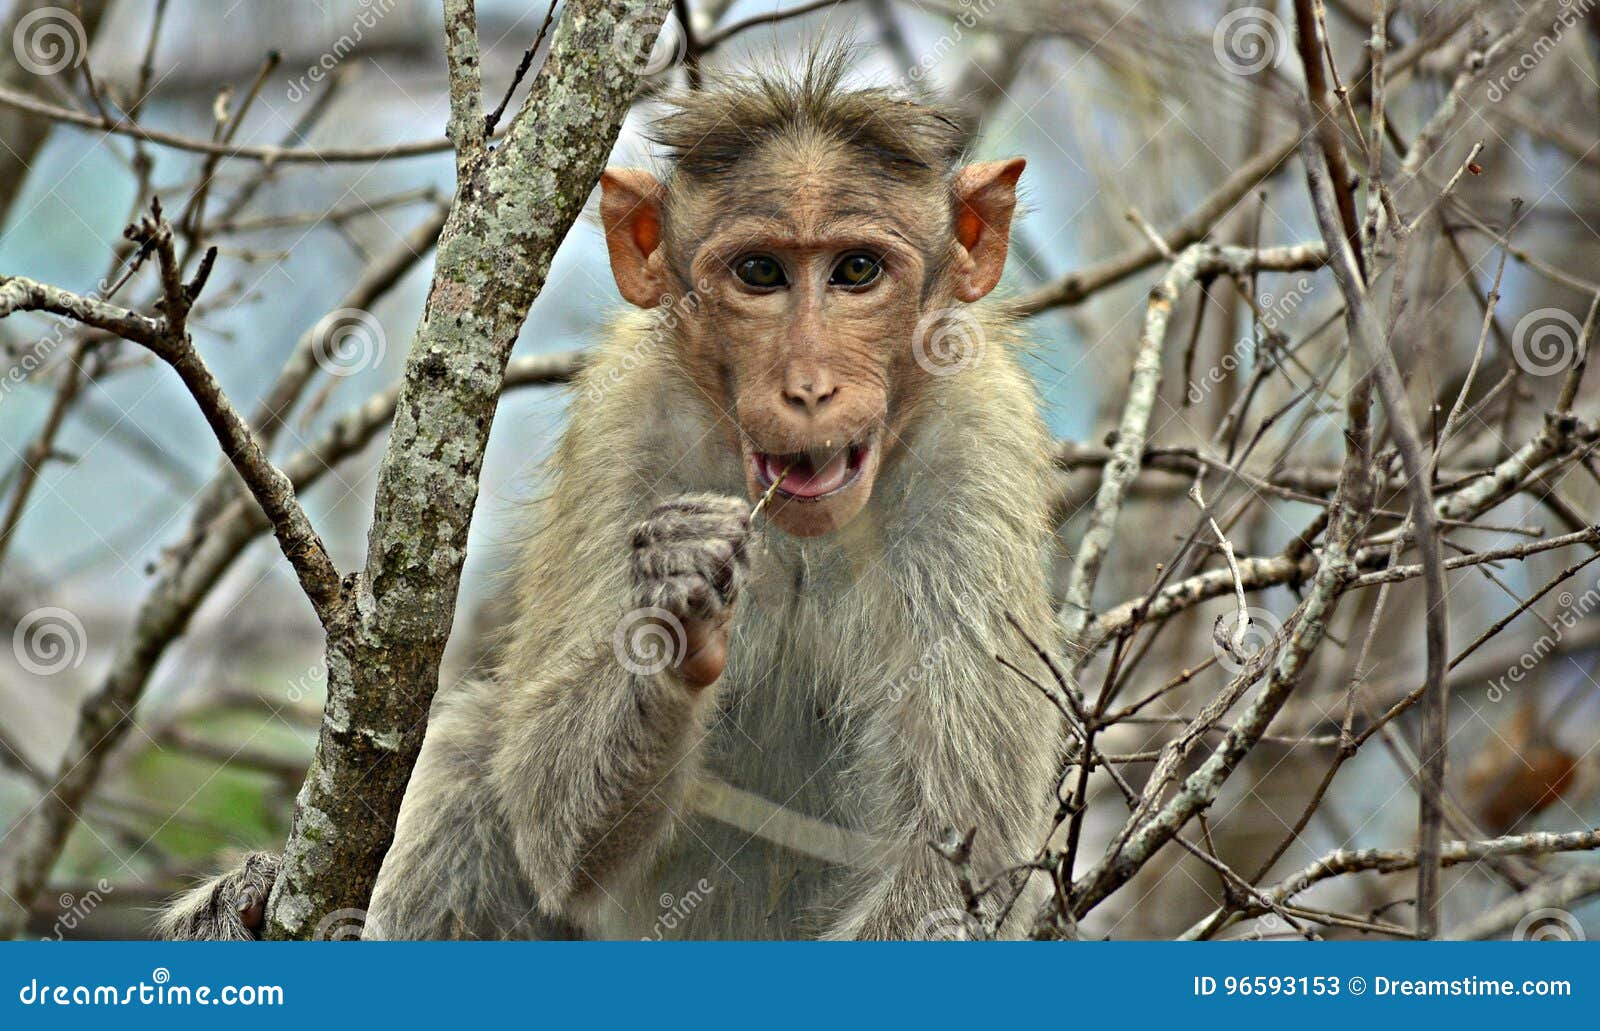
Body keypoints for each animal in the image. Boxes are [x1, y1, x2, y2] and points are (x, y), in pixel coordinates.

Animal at [160, 54, 1065, 942]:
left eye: (857, 272)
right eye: (761, 273)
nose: (809, 387)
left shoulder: (977, 447)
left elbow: (953, 859)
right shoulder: (625, 414)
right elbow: (546, 807)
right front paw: (675, 596)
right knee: (473, 759)